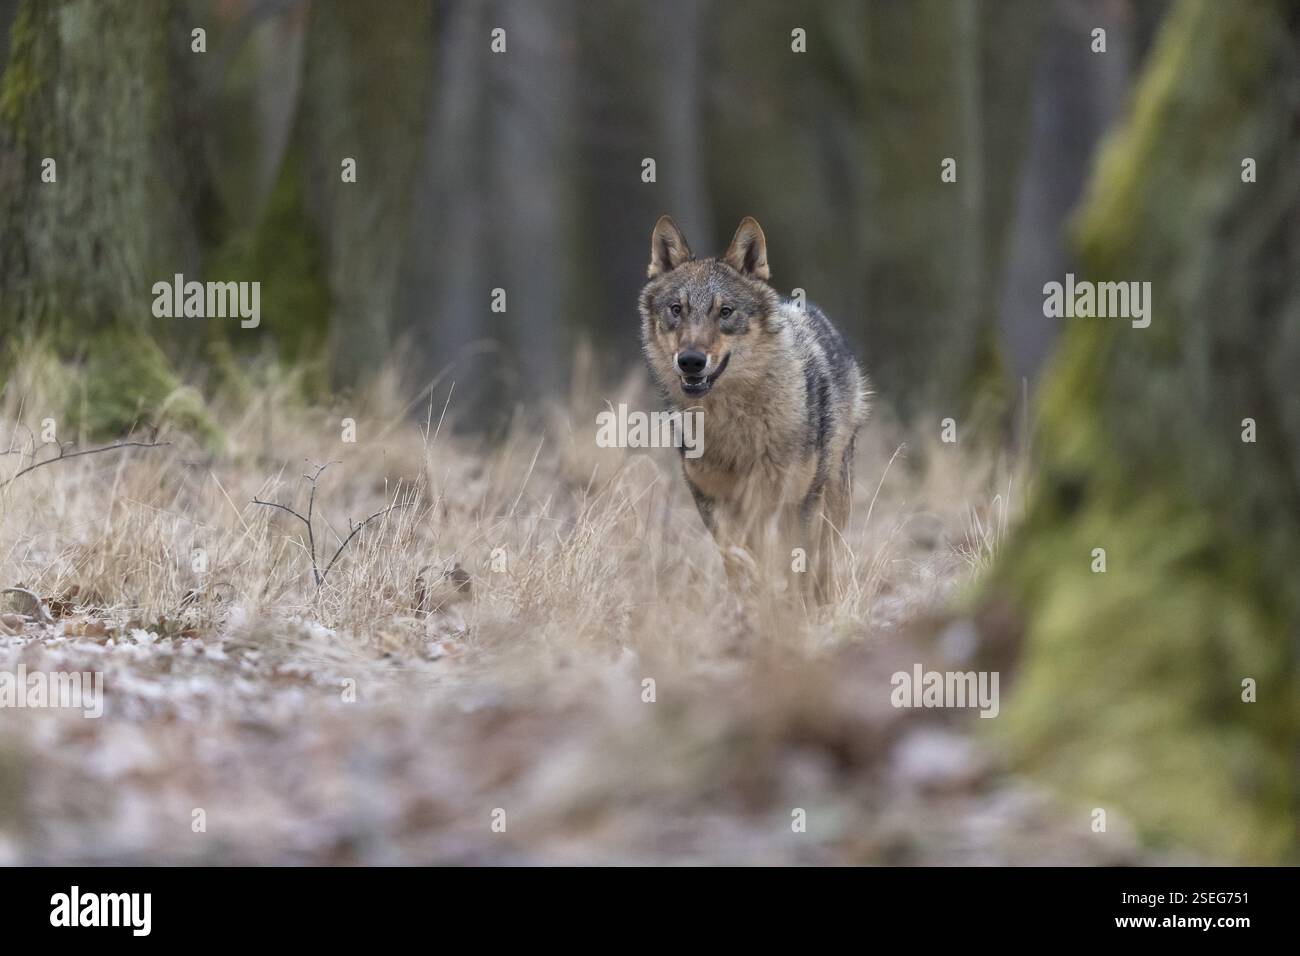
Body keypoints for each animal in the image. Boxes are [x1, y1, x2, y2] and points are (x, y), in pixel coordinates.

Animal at [639, 215, 870, 603]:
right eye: (677, 310)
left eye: (725, 312)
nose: (690, 361)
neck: (734, 426)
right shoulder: (713, 502)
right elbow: (738, 562)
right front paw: (749, 606)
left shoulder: (798, 502)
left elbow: (798, 567)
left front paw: (796, 611)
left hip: (832, 497)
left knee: (824, 561)